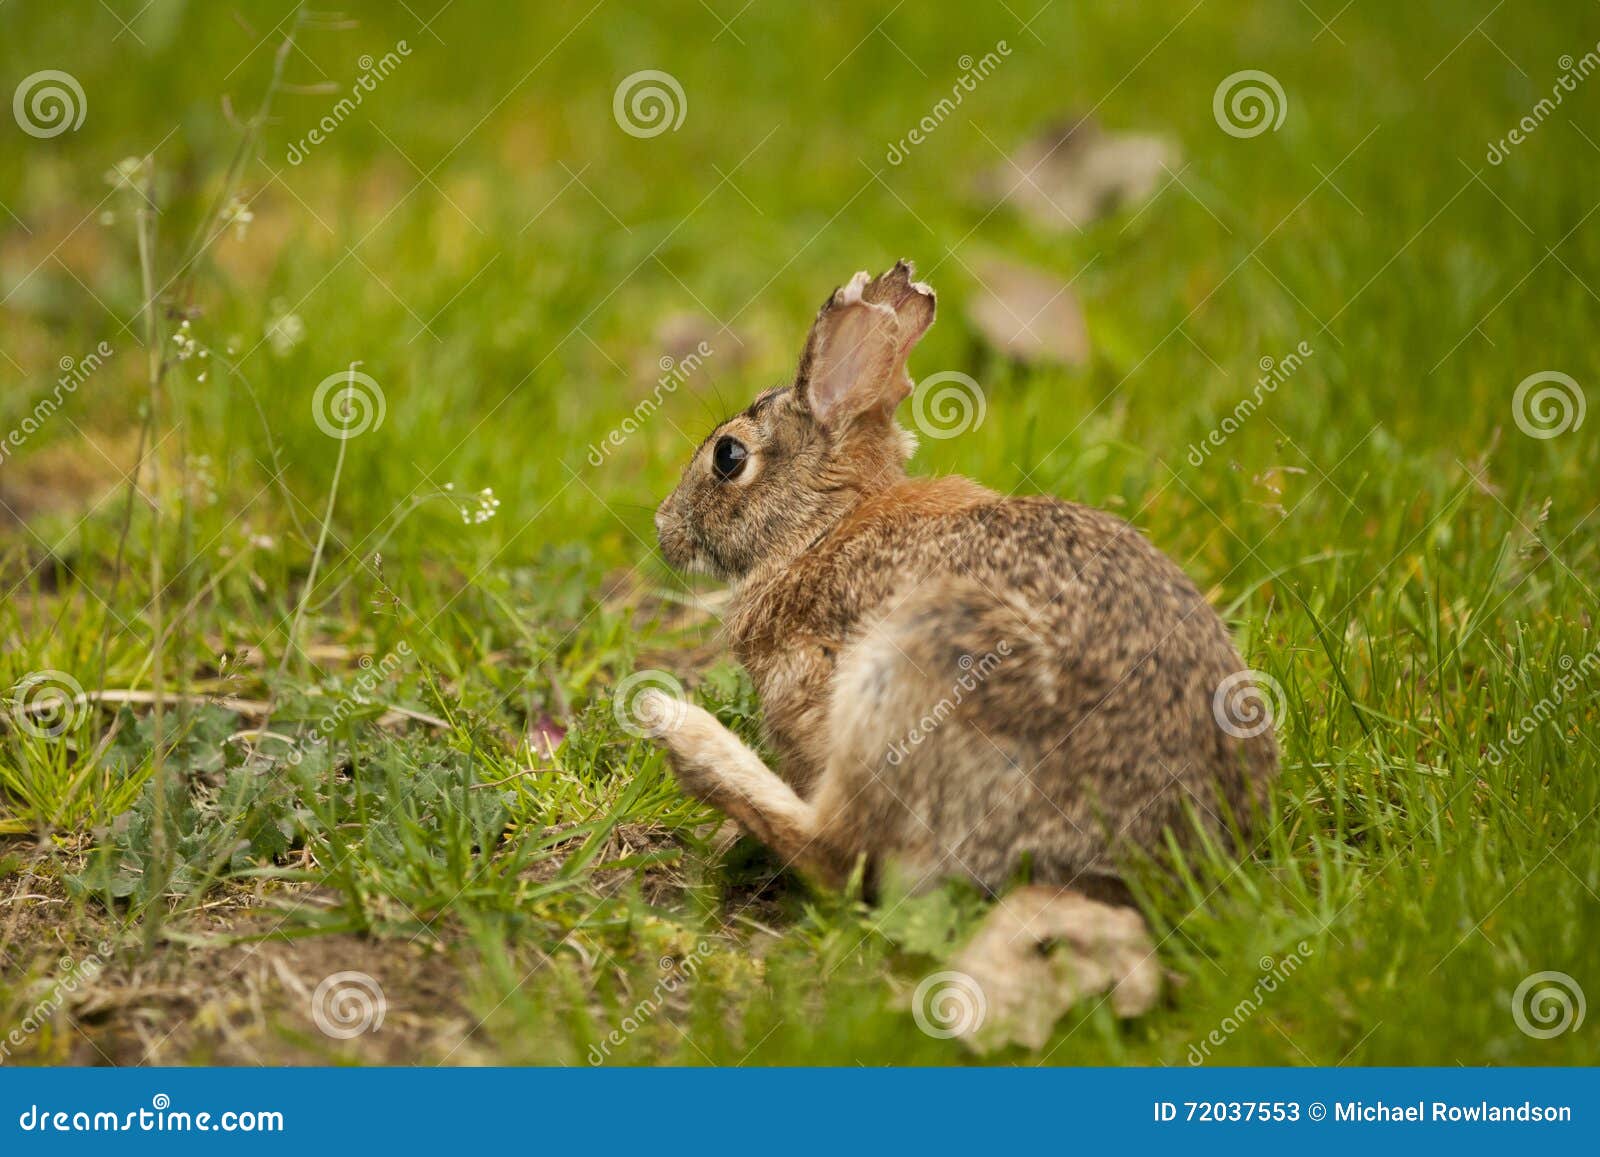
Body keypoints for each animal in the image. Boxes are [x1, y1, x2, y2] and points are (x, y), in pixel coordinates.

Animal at [645, 260, 1278, 1032]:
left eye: (728, 456)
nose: (663, 528)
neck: (820, 530)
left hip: (919, 671)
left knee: (839, 848)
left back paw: (682, 735)